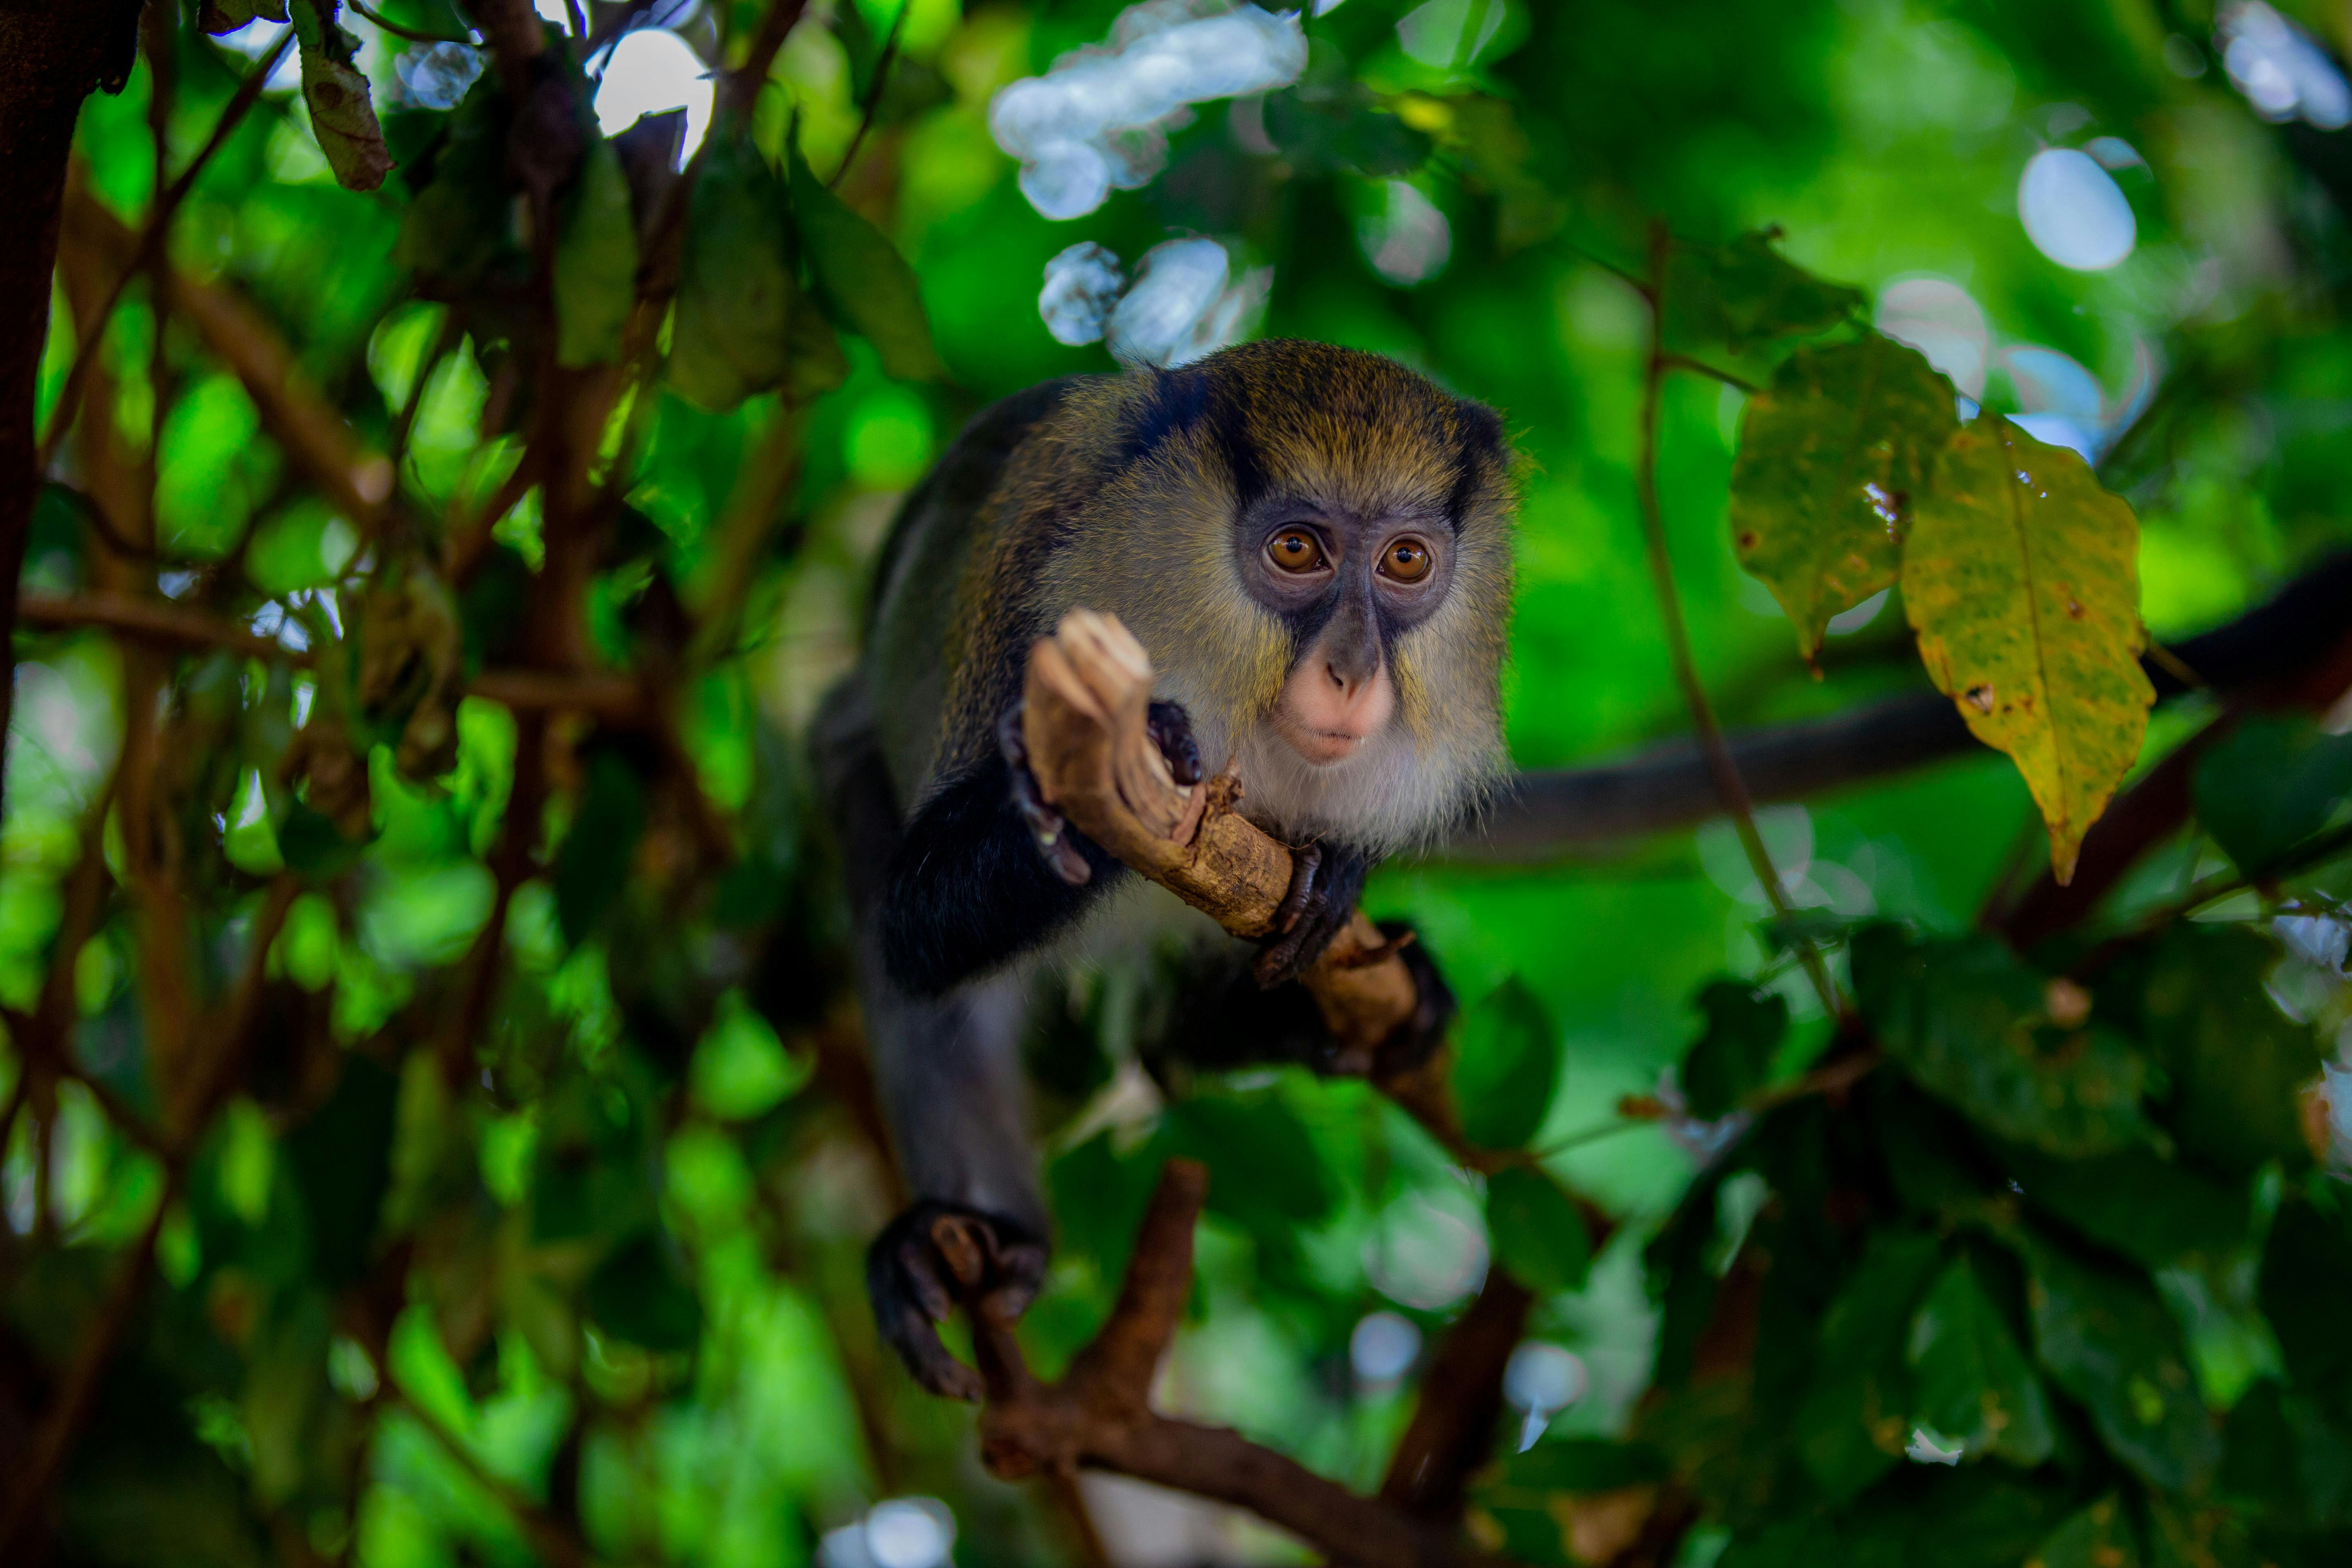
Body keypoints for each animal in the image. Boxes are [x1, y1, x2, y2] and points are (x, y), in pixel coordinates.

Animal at [812, 339, 1515, 1398]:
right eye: (1297, 551)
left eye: (1405, 561)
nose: (1352, 670)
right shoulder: (1029, 581)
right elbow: (912, 920)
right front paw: (1111, 766)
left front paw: (1340, 872)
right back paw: (969, 1234)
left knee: (1165, 1041)